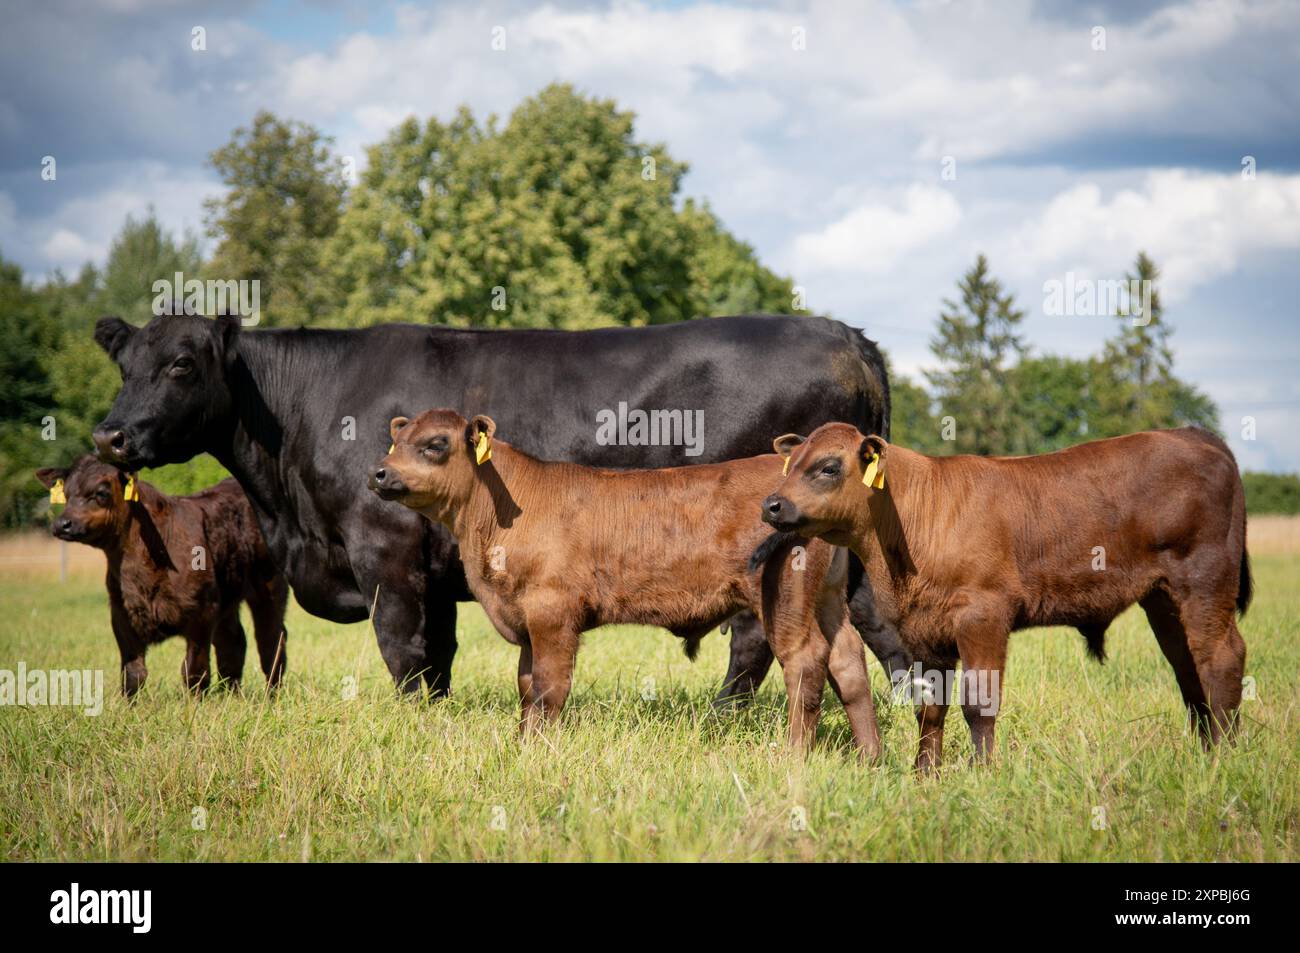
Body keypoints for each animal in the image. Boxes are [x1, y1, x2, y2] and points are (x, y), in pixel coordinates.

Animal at [35, 456, 288, 696]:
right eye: (66, 494)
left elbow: (194, 671)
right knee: (233, 643)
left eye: (101, 492)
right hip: (227, 593)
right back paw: (231, 695)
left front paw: (195, 706)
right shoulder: (121, 613)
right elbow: (133, 673)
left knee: (271, 641)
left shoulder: (202, 611)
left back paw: (271, 695)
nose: (62, 524)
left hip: (269, 587)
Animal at [90, 312, 907, 702]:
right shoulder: (435, 567)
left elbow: (402, 650)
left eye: (182, 363)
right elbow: (438, 654)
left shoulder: (384, 548)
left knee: (754, 640)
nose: (109, 433)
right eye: (123, 363)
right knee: (876, 619)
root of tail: (845, 334)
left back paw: (723, 714)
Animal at [369, 409, 881, 757]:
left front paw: (540, 751)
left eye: (435, 443)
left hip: (786, 595)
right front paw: (523, 743)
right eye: (396, 442)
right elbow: (526, 686)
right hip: (827, 597)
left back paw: (794, 755)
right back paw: (870, 757)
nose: (378, 472)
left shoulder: (553, 611)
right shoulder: (526, 620)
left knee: (806, 662)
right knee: (848, 661)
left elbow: (550, 687)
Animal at [759, 424, 1251, 772]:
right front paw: (924, 774)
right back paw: (1205, 752)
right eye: (790, 463)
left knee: (1222, 658)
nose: (771, 504)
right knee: (1187, 669)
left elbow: (979, 701)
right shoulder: (925, 631)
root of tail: (1191, 433)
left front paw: (981, 772)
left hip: (1205, 580)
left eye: (828, 466)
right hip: (1163, 599)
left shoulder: (983, 614)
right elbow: (930, 707)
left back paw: (1225, 756)